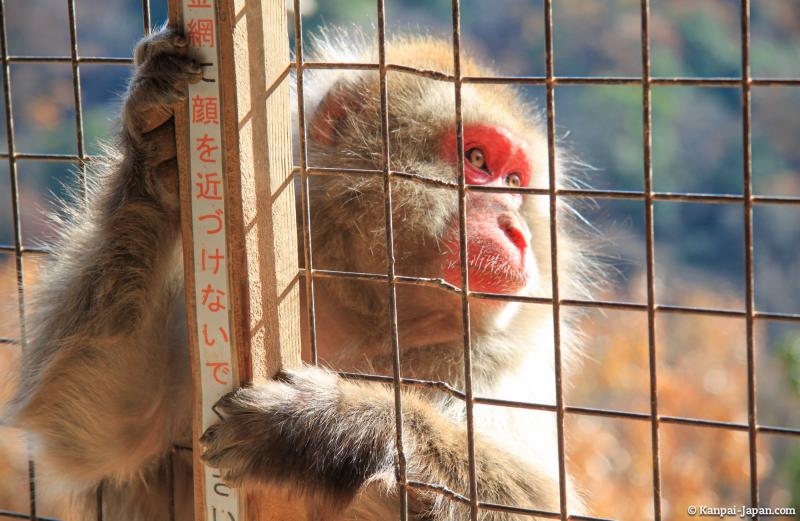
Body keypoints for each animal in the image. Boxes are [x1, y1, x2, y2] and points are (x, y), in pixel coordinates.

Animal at [5, 25, 593, 521]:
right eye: (476, 159)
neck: (363, 314)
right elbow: (96, 430)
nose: (517, 229)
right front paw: (157, 150)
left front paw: (329, 428)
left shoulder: (492, 365)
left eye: (516, 182)